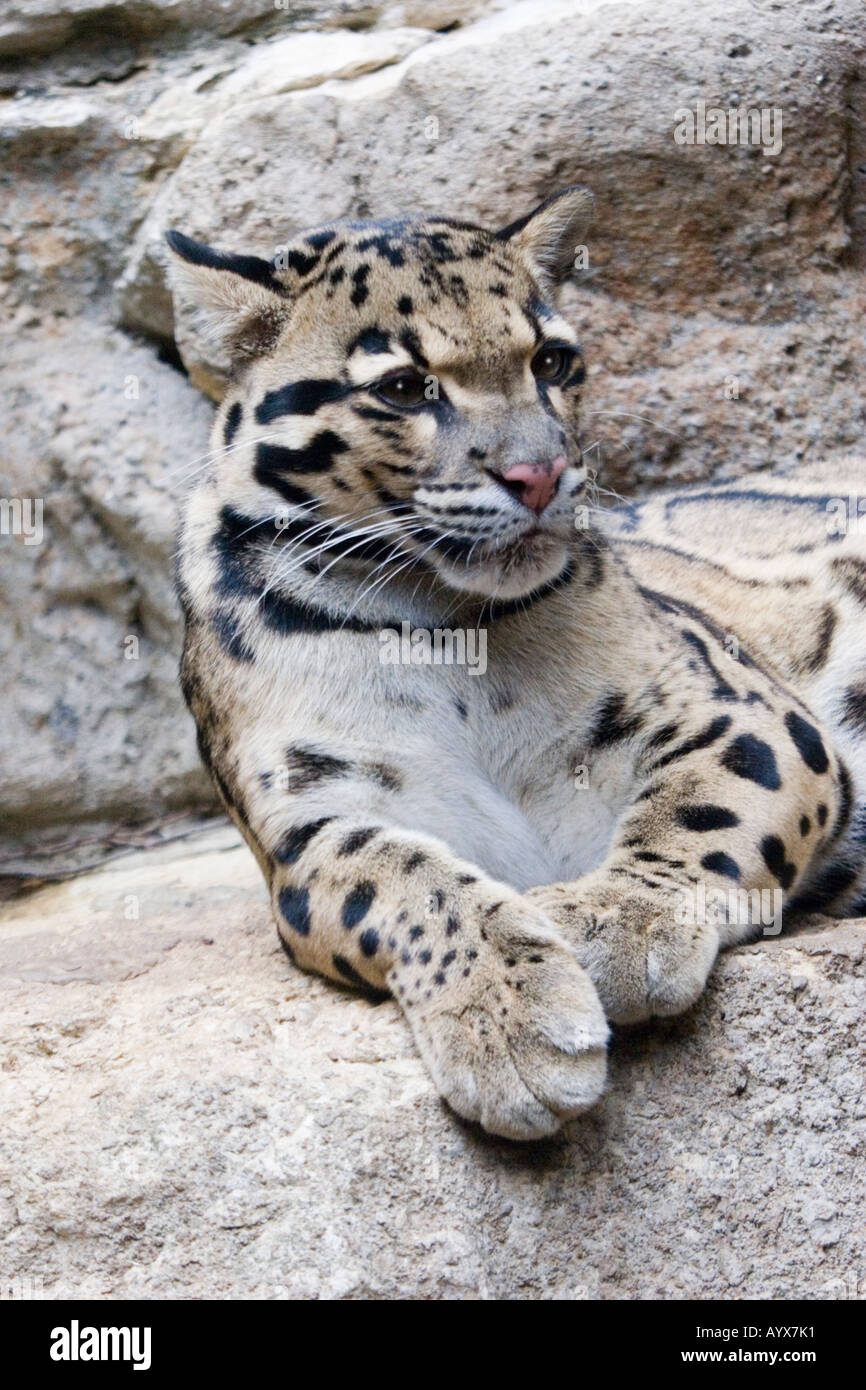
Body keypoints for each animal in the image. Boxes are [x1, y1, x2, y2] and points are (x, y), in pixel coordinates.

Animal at [165, 186, 866, 1140]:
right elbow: (399, 879)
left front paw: (616, 919)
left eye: (552, 361)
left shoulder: (737, 704)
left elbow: (706, 799)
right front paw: (508, 1014)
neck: (442, 626)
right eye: (404, 386)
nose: (539, 473)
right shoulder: (307, 820)